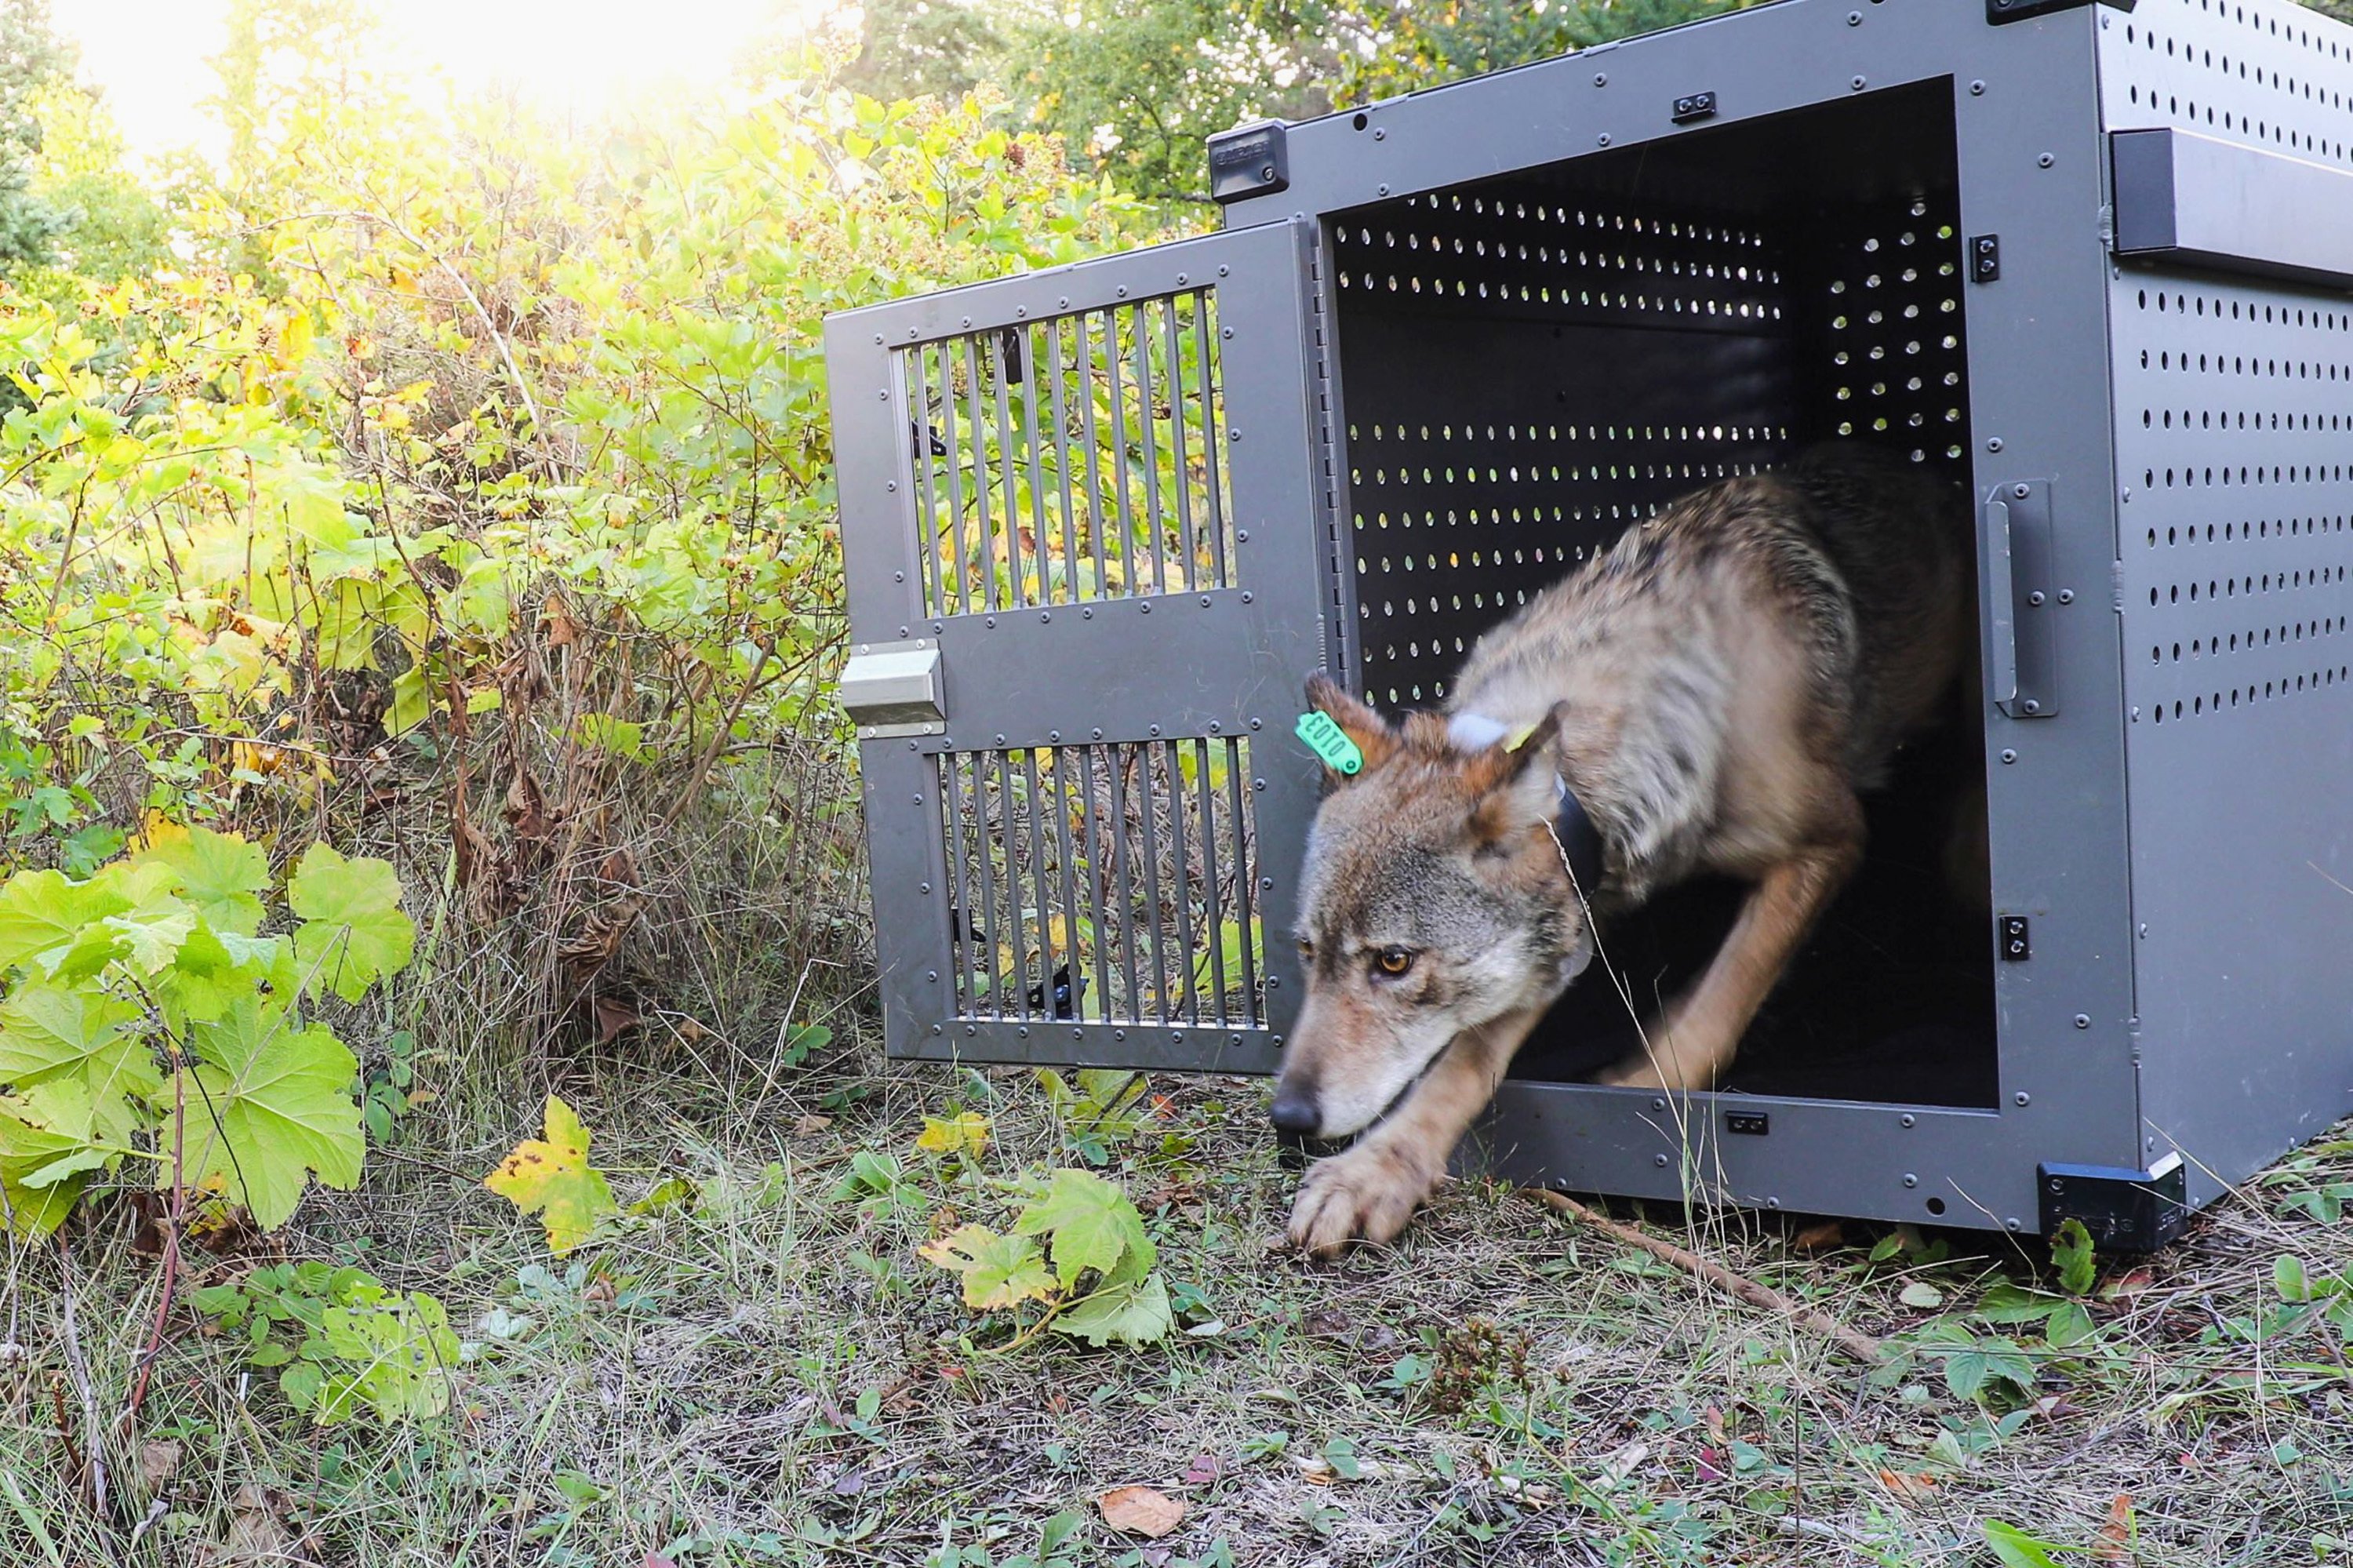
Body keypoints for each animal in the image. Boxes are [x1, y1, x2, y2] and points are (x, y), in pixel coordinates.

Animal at [1275, 444, 1973, 1256]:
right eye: (1307, 952)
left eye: (1393, 962)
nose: (1287, 1117)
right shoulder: (1571, 915)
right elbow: (1464, 1060)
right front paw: (1376, 1170)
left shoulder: (1830, 839)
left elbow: (1725, 991)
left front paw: (1642, 1090)